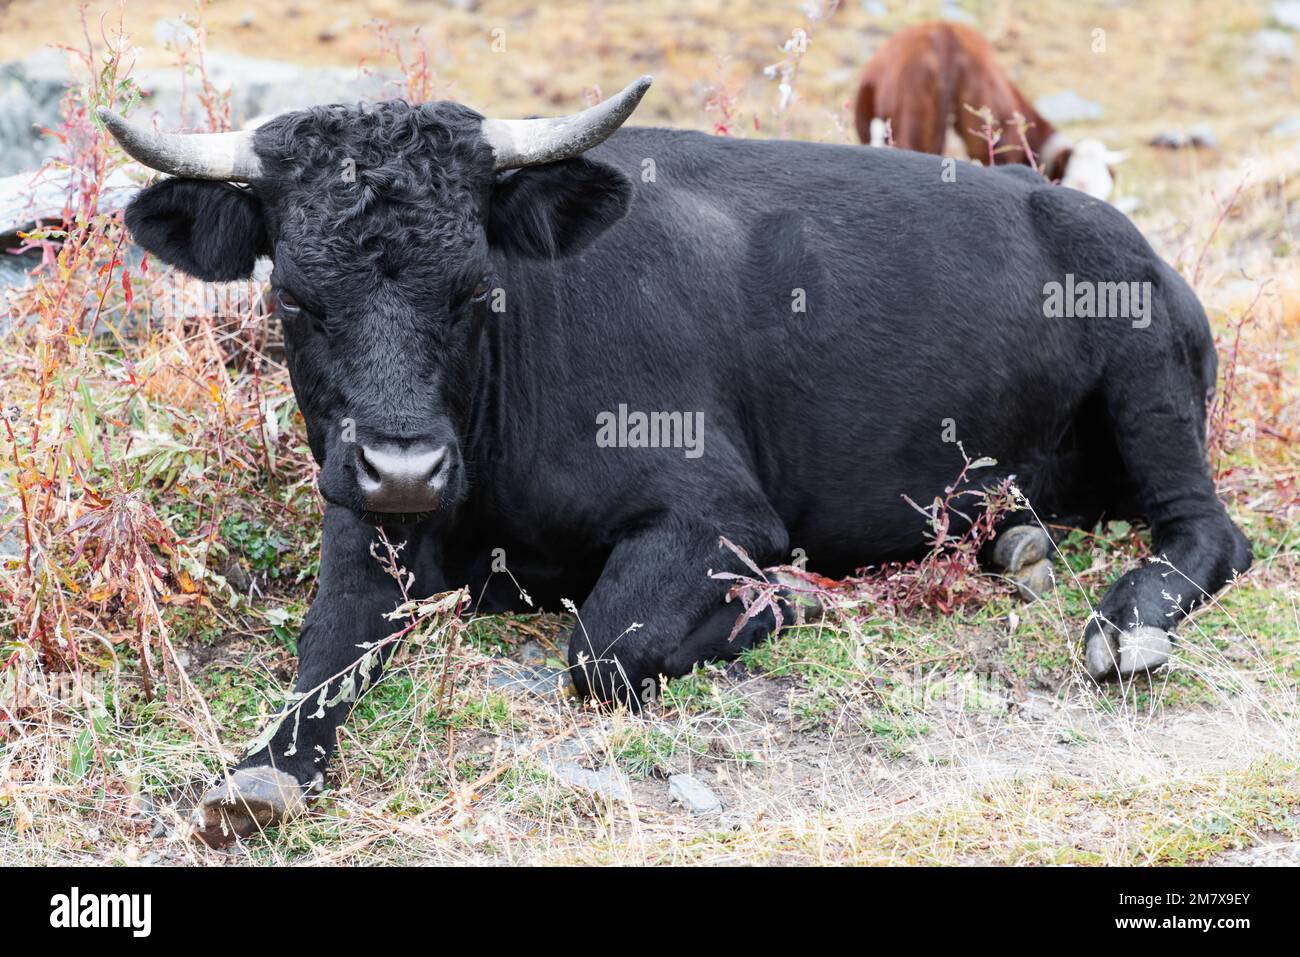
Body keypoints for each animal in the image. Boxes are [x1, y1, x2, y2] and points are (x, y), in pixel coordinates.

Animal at [99, 75, 1250, 846]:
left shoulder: (717, 511)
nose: (405, 468)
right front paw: (262, 770)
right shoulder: (366, 524)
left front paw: (794, 600)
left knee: (1208, 529)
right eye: (295, 297)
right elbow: (325, 648)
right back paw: (1012, 540)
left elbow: (607, 647)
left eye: (474, 288)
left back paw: (1124, 628)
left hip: (1148, 379)